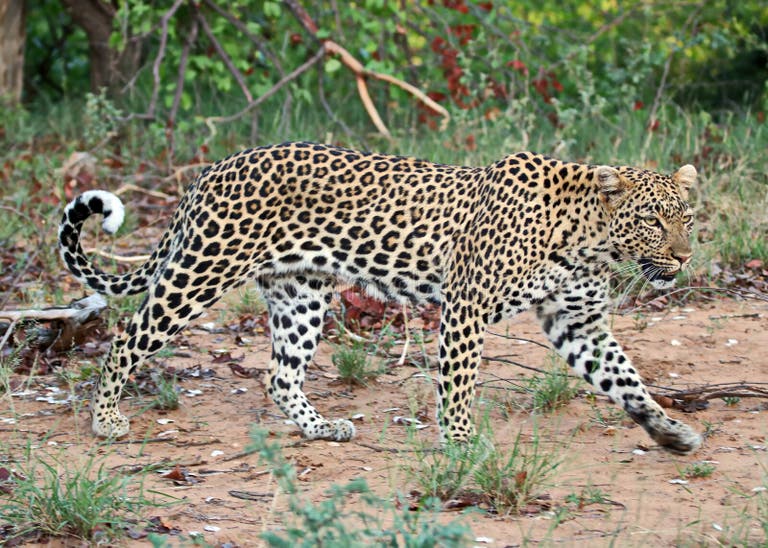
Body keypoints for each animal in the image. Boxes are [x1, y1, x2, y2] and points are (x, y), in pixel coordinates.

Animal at [58, 141, 702, 454]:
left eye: (687, 217)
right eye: (652, 219)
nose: (684, 257)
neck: (588, 240)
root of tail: (212, 168)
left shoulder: (580, 322)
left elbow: (627, 380)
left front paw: (670, 431)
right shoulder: (466, 309)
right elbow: (459, 383)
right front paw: (461, 442)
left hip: (301, 294)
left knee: (280, 374)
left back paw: (322, 429)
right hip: (202, 271)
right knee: (125, 339)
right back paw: (105, 420)